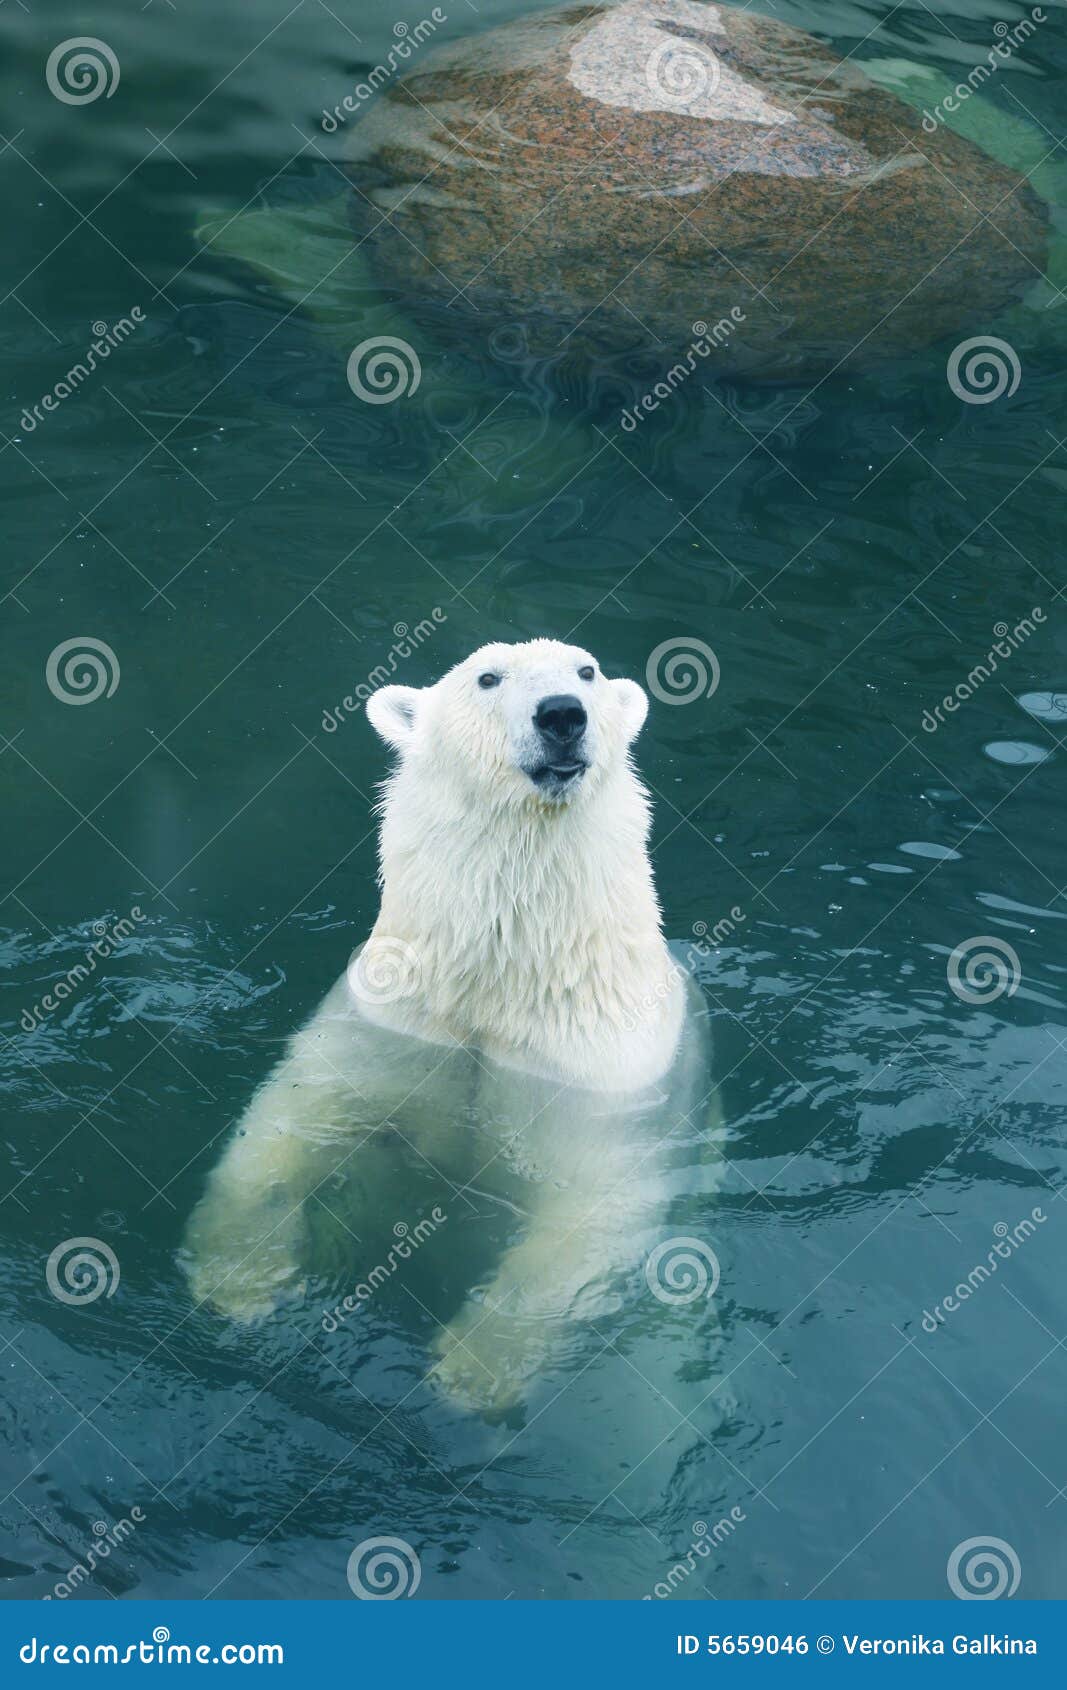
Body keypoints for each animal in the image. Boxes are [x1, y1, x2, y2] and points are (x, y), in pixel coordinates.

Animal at [182, 638, 711, 1413]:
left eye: (585, 671)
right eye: (487, 677)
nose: (562, 715)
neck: (501, 980)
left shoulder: (606, 1071)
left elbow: (592, 1210)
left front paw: (474, 1367)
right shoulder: (392, 1019)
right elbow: (289, 1121)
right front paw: (241, 1278)